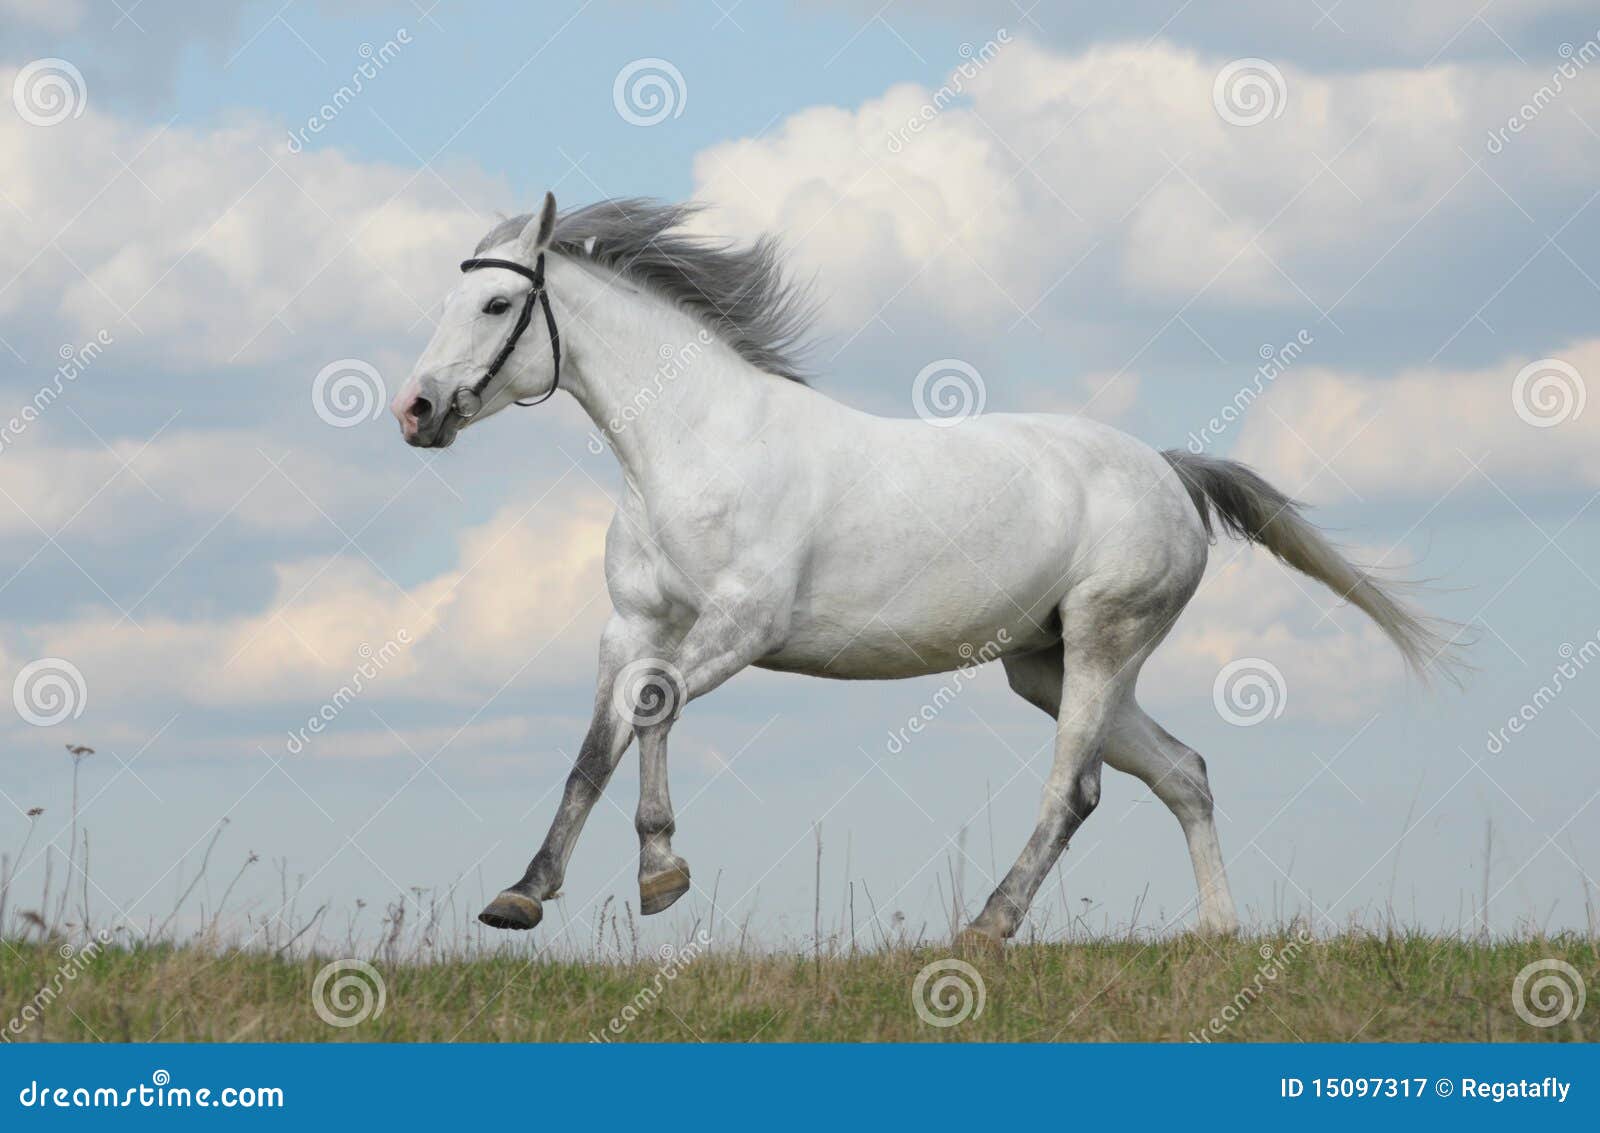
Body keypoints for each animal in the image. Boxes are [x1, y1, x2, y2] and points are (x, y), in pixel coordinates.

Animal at [390, 192, 1459, 943]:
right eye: (444, 300)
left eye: (497, 302)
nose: (415, 410)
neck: (692, 446)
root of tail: (1167, 468)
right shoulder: (634, 626)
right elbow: (595, 748)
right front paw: (524, 894)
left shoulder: (742, 625)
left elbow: (653, 710)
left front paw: (661, 874)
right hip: (1045, 665)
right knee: (1184, 773)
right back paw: (1219, 935)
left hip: (1105, 640)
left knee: (1076, 790)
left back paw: (988, 926)